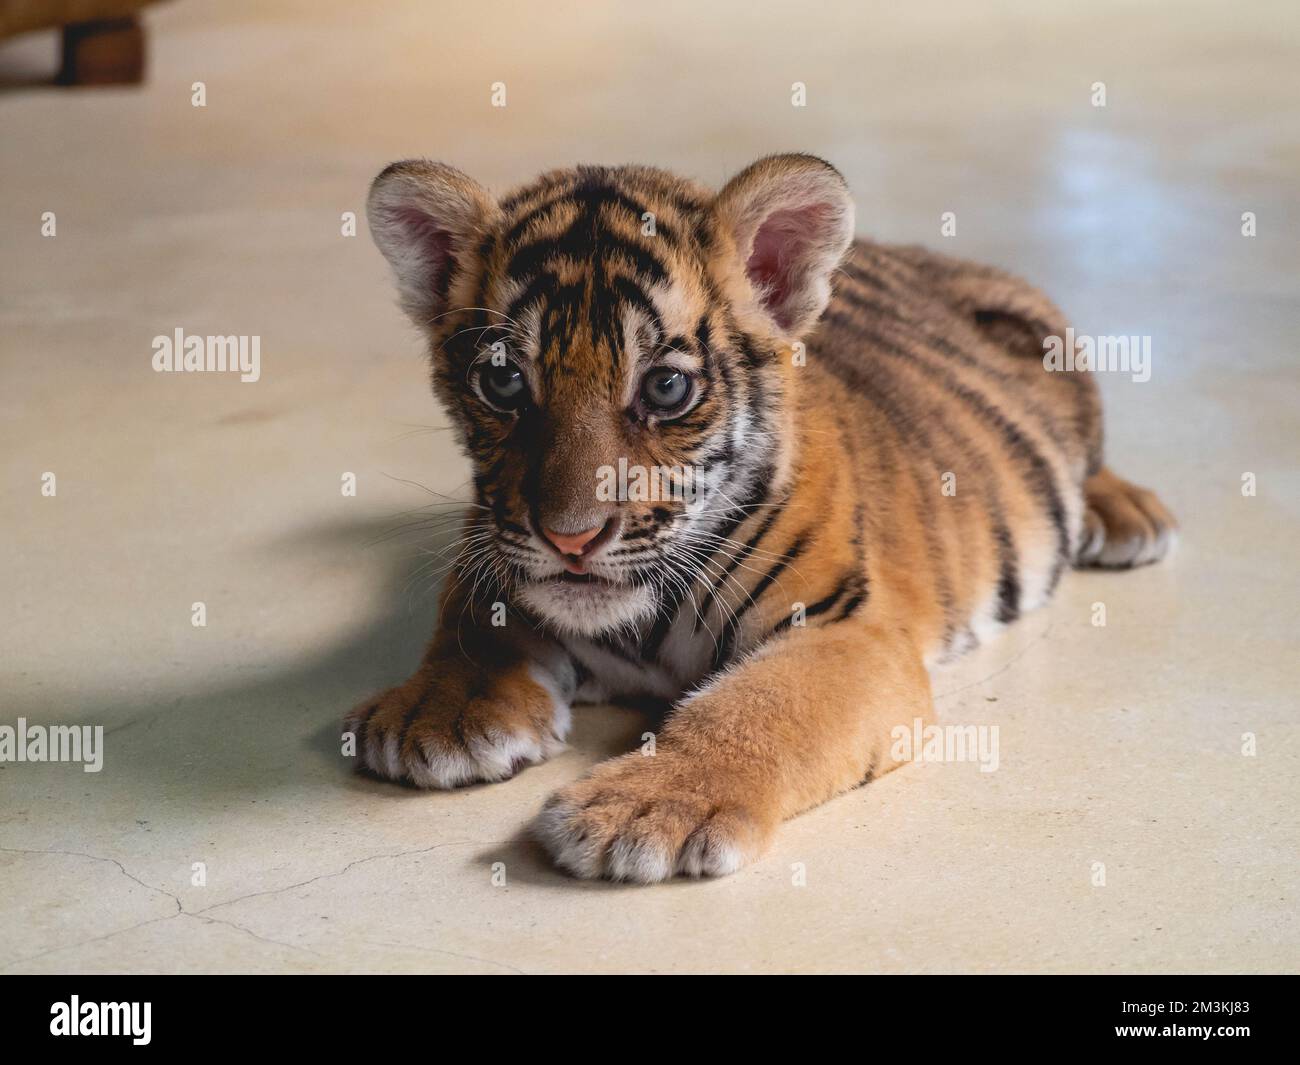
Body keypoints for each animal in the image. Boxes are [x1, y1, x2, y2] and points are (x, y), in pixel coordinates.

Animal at [346, 153, 1176, 883]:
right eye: (504, 382)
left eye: (667, 387)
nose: (570, 536)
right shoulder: (491, 536)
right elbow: (472, 613)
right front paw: (441, 713)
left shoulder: (849, 628)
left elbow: (752, 707)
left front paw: (645, 810)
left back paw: (1125, 515)